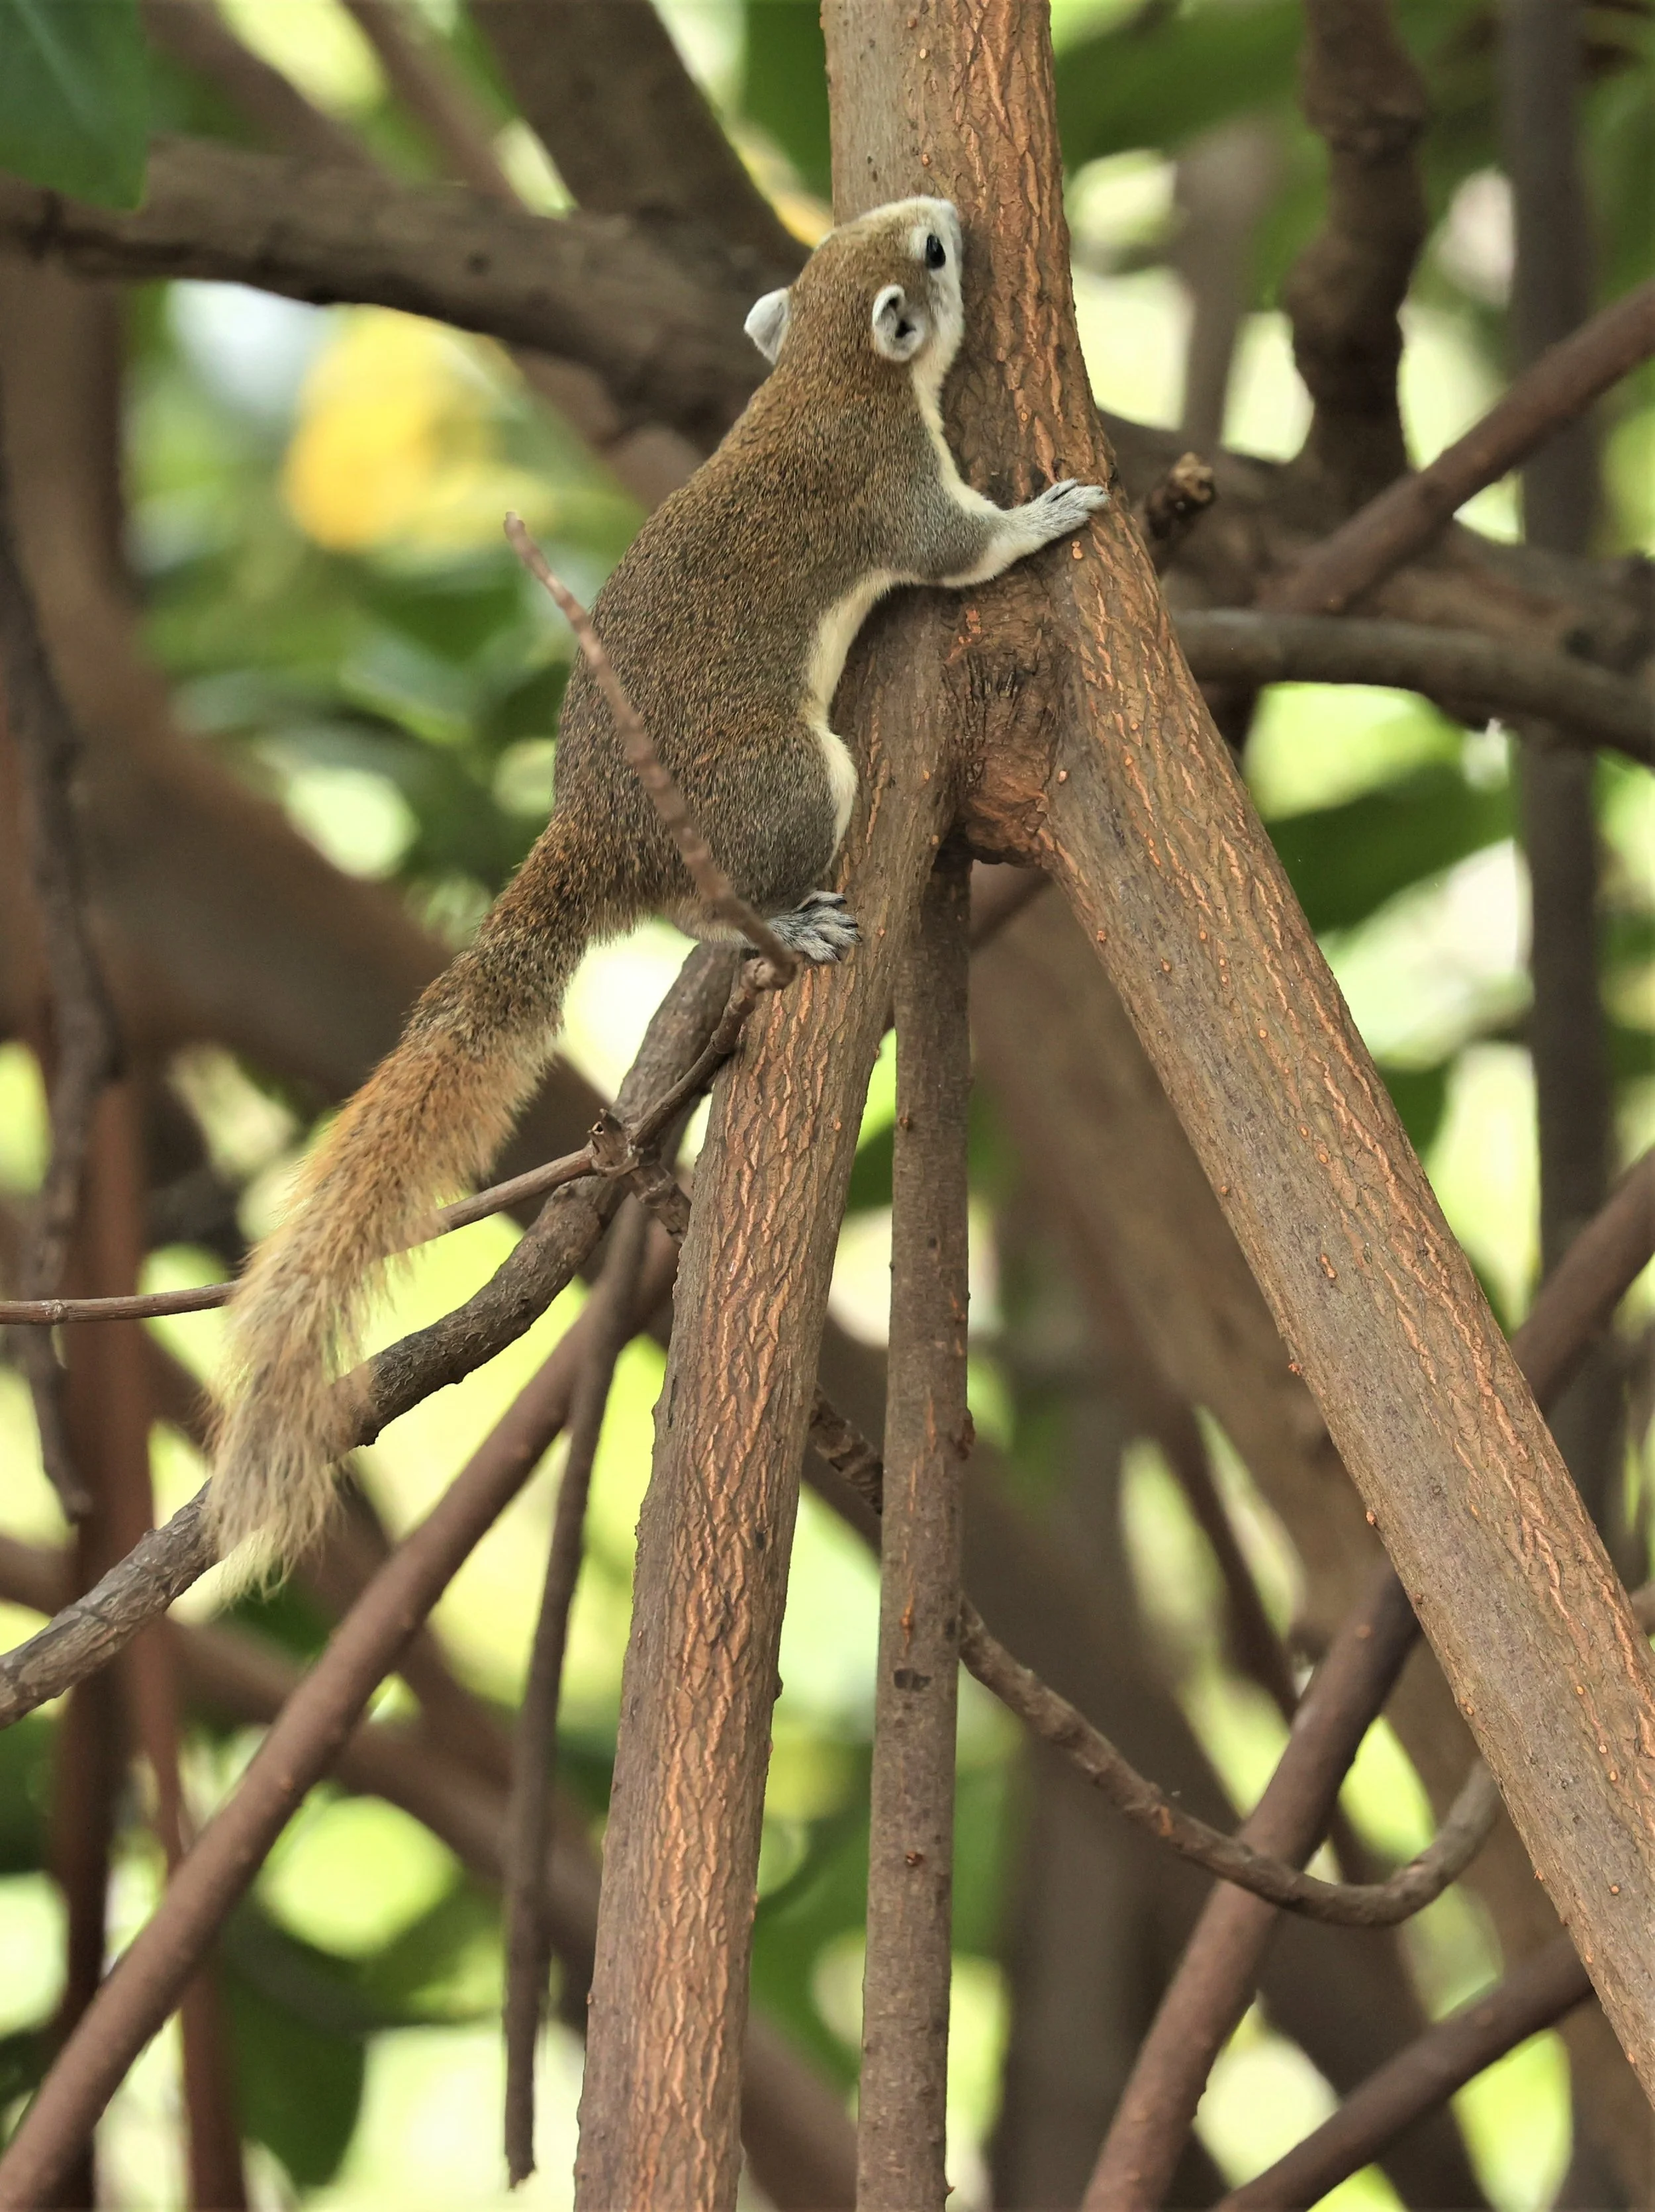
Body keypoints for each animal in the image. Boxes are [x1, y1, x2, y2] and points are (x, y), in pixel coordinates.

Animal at [206, 195, 1107, 1576]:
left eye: (865, 235)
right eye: (930, 259)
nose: (945, 207)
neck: (825, 377)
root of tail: (596, 832)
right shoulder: (896, 495)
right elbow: (965, 553)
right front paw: (1050, 515)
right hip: (787, 779)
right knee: (714, 893)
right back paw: (787, 919)